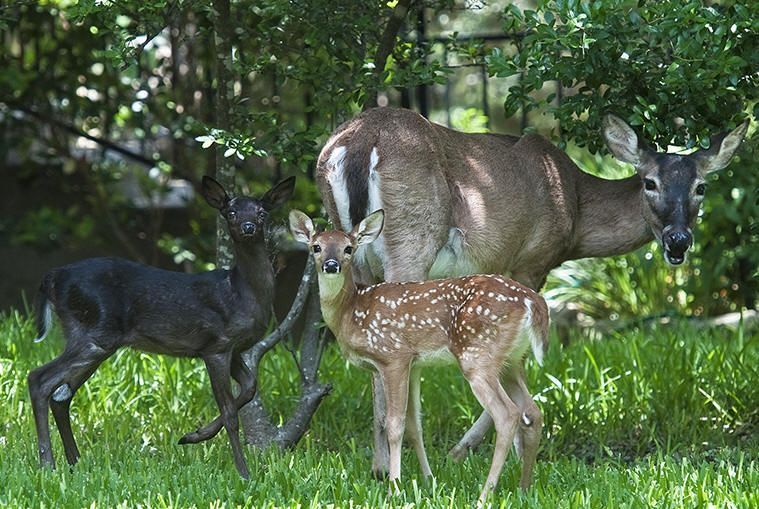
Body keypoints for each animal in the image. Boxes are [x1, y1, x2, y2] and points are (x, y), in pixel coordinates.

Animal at [27, 175, 295, 479]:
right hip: (94, 332)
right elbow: (230, 413)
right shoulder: (216, 345)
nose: (248, 227)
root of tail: (51, 277)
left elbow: (250, 387)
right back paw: (48, 464)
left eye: (262, 213)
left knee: (61, 395)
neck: (241, 293)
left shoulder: (234, 348)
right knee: (39, 380)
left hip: (93, 338)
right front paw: (244, 473)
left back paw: (75, 462)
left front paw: (193, 435)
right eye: (231, 212)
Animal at [289, 208, 549, 504]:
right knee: (532, 411)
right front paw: (428, 480)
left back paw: (484, 496)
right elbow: (415, 426)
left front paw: (394, 488)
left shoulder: (394, 356)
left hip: (478, 357)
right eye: (316, 247)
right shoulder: (415, 364)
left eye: (348, 248)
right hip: (511, 360)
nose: (331, 265)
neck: (350, 313)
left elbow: (394, 425)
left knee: (507, 415)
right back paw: (524, 490)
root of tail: (533, 302)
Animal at [315, 106, 749, 475]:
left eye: (701, 187)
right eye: (650, 183)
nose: (678, 240)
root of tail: (359, 144)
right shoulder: (531, 261)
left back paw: (379, 468)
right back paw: (399, 470)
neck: (575, 208)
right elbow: (517, 356)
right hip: (411, 241)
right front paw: (479, 450)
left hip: (356, 251)